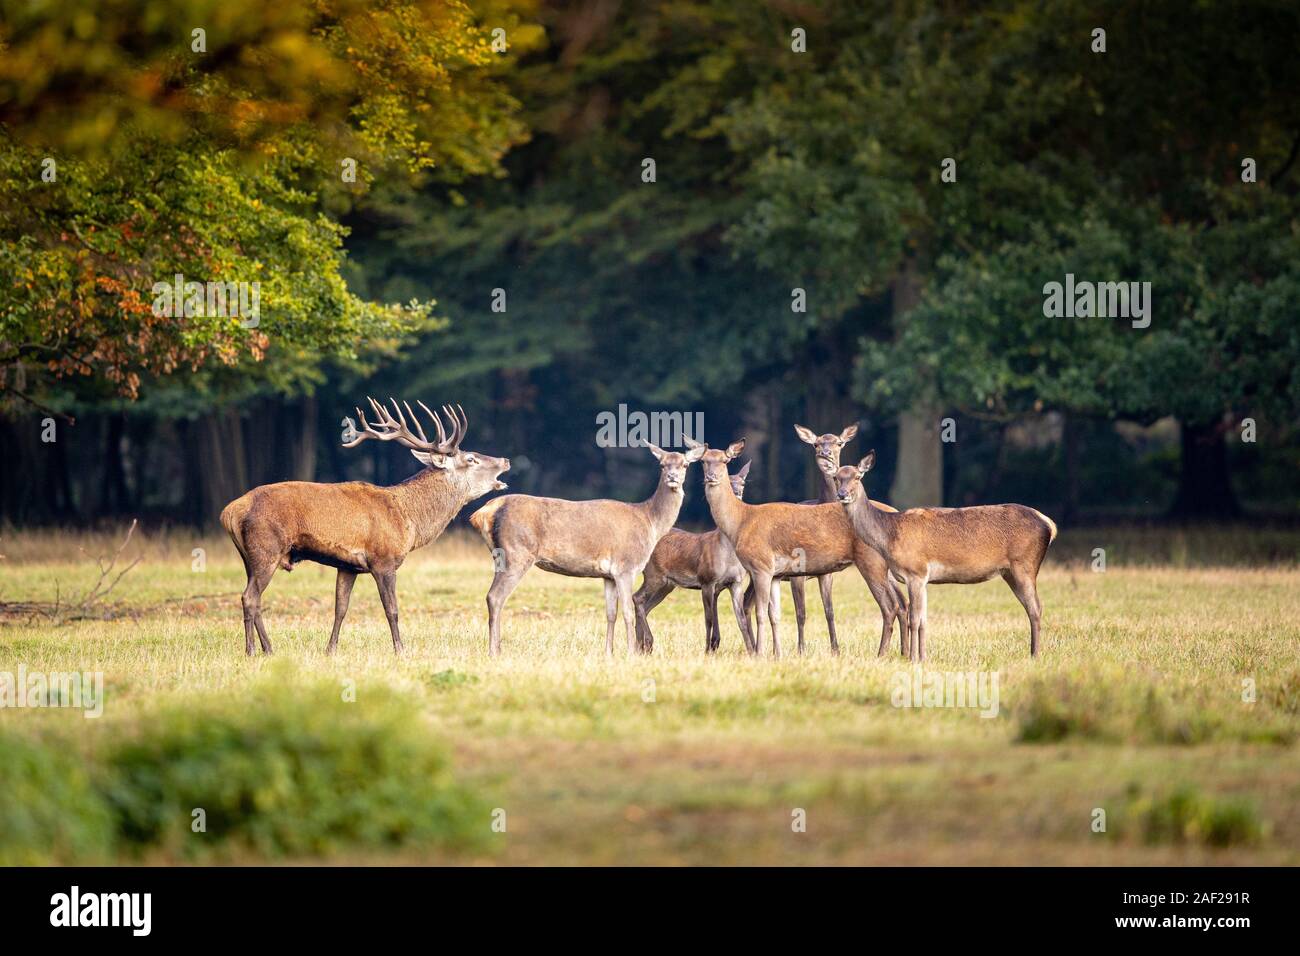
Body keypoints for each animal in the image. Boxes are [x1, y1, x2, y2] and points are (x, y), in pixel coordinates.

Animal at [220, 398, 510, 656]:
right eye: (471, 459)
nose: (505, 460)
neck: (409, 520)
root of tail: (230, 511)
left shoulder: (348, 566)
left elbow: (340, 608)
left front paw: (331, 650)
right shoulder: (383, 559)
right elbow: (392, 609)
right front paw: (400, 650)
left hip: (249, 557)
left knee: (256, 599)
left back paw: (269, 649)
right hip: (266, 548)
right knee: (249, 597)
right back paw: (251, 651)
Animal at [469, 442, 706, 656]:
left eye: (685, 464)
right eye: (662, 465)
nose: (672, 477)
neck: (650, 522)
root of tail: (483, 512)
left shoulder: (608, 576)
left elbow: (611, 613)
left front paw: (608, 653)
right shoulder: (625, 568)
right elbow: (627, 612)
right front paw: (630, 653)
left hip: (501, 557)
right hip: (516, 553)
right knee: (495, 597)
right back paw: (494, 652)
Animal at [633, 460, 757, 655]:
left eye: (743, 483)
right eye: (727, 481)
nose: (737, 492)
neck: (727, 556)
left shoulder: (734, 582)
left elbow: (741, 619)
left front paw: (751, 652)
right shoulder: (706, 579)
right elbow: (708, 619)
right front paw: (707, 650)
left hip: (667, 584)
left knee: (645, 606)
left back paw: (641, 646)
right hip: (654, 575)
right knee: (637, 598)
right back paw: (647, 642)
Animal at [699, 439, 907, 659]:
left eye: (725, 460)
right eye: (703, 461)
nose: (710, 477)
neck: (741, 522)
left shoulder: (762, 566)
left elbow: (761, 613)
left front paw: (760, 653)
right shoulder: (776, 574)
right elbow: (775, 615)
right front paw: (777, 655)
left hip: (871, 560)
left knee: (890, 606)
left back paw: (882, 654)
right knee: (901, 604)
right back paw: (903, 653)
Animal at [826, 451, 1057, 659]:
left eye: (857, 476)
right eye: (836, 477)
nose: (842, 494)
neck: (889, 535)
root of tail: (1049, 524)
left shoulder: (916, 572)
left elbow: (914, 620)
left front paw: (913, 659)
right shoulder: (922, 579)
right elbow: (924, 621)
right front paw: (923, 658)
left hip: (1024, 565)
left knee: (1036, 608)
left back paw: (1035, 655)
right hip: (1009, 572)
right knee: (1032, 607)